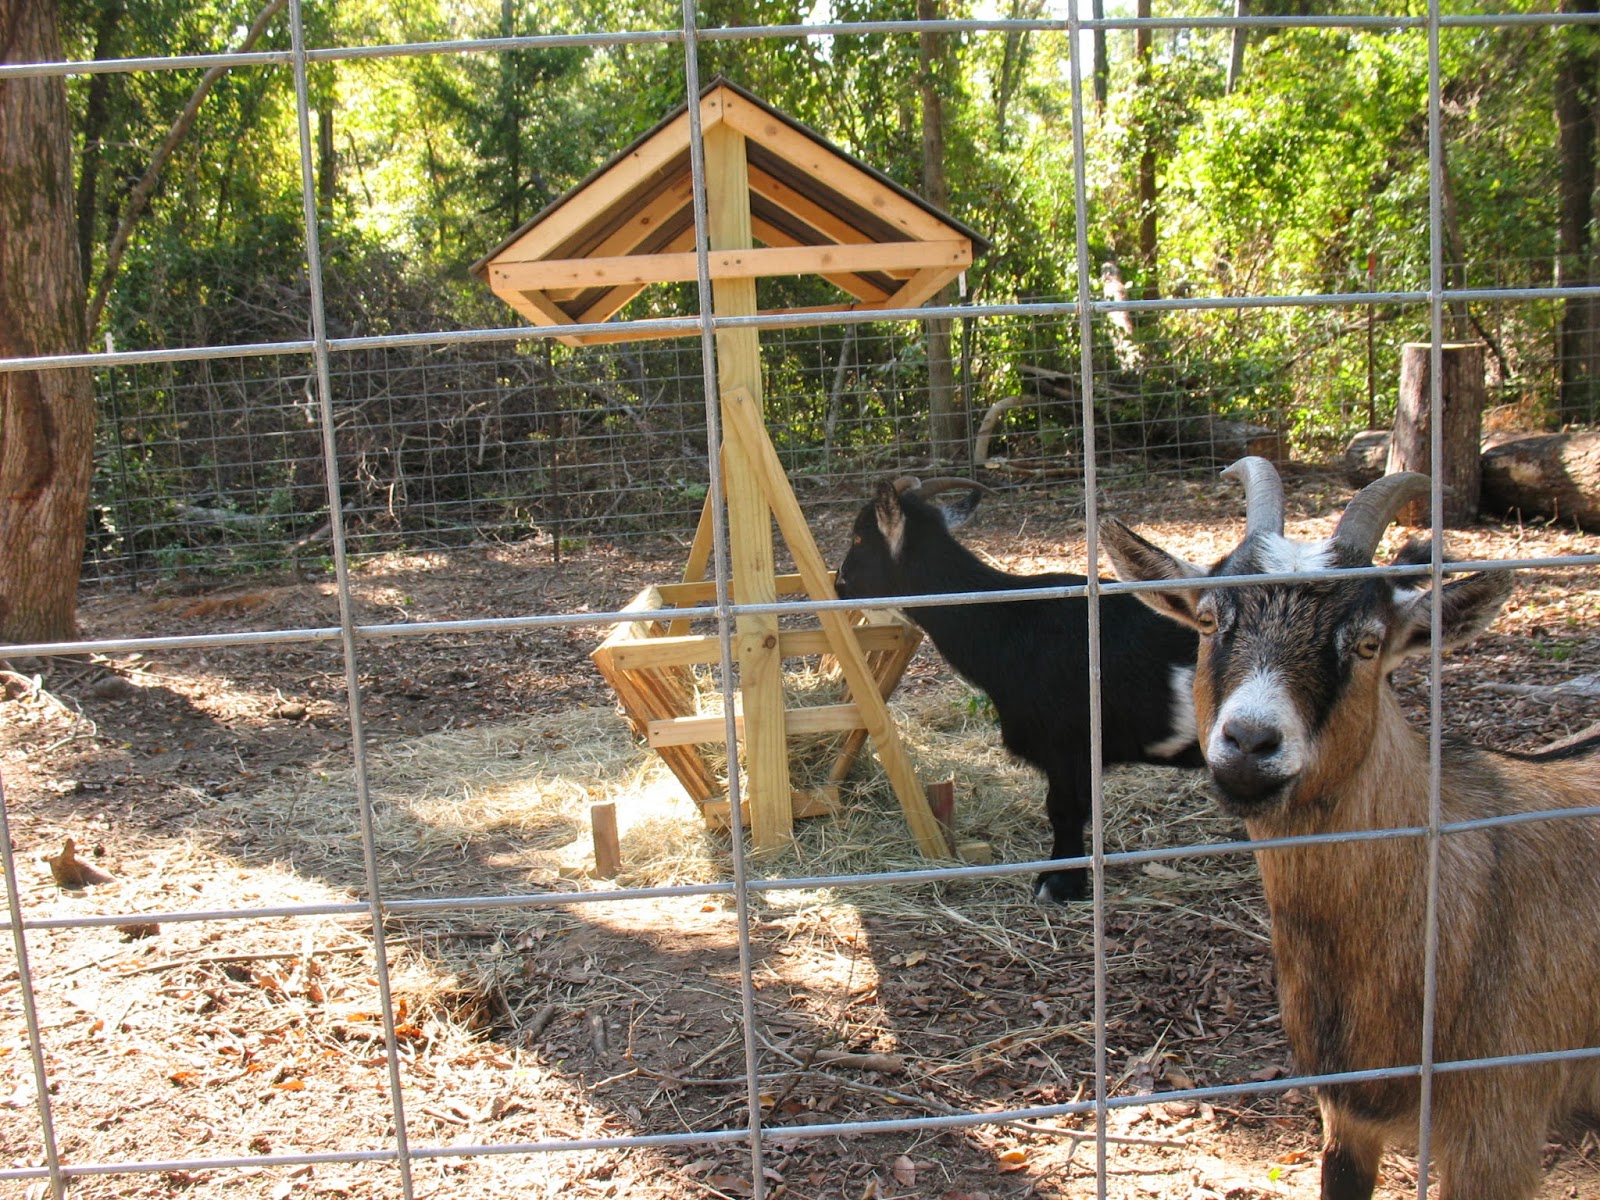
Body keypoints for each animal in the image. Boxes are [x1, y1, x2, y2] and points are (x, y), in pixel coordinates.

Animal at [833, 477, 1202, 903]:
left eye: (859, 537)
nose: (839, 583)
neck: (1009, 620)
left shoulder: (1067, 745)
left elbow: (1064, 809)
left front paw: (1058, 884)